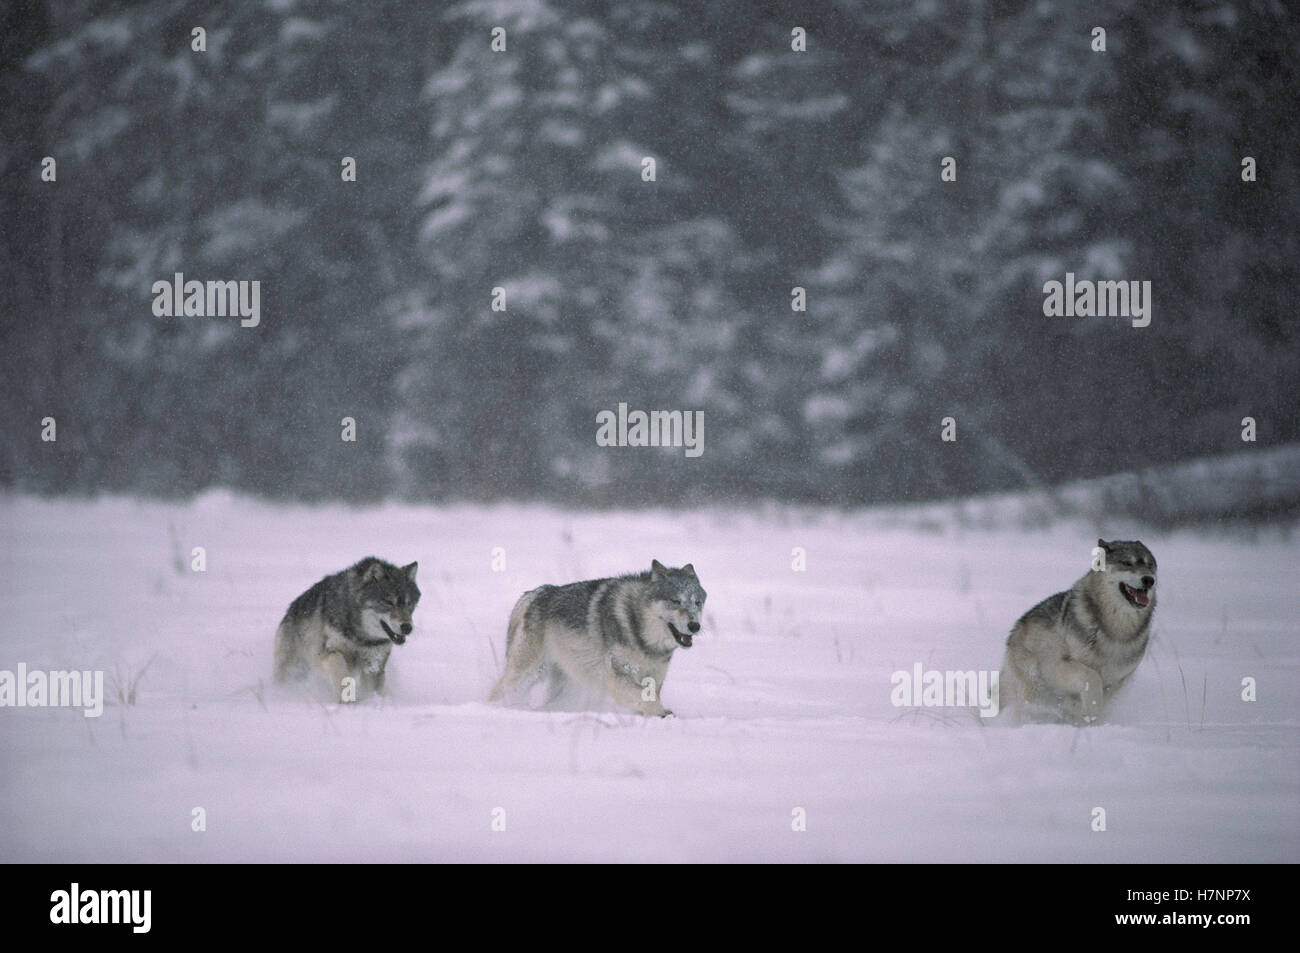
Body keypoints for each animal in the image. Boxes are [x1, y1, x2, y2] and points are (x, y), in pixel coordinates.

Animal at [273, 557, 419, 702]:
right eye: (389, 602)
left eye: (409, 603)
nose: (407, 627)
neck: (361, 637)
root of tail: (291, 609)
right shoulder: (326, 652)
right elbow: (339, 663)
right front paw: (347, 698)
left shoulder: (374, 663)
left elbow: (371, 690)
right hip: (294, 666)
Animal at [488, 560, 706, 717]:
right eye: (676, 601)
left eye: (697, 602)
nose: (695, 626)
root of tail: (532, 594)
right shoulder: (617, 675)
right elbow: (646, 697)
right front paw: (663, 713)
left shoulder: (654, 678)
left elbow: (646, 698)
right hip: (529, 673)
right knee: (502, 689)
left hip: (568, 682)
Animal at [999, 539, 1157, 725]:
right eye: (1127, 563)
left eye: (1150, 565)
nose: (1149, 580)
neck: (1116, 631)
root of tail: (1017, 626)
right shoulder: (1059, 666)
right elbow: (1092, 678)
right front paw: (1089, 711)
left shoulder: (1117, 681)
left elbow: (1099, 699)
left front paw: (1083, 718)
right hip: (1030, 686)